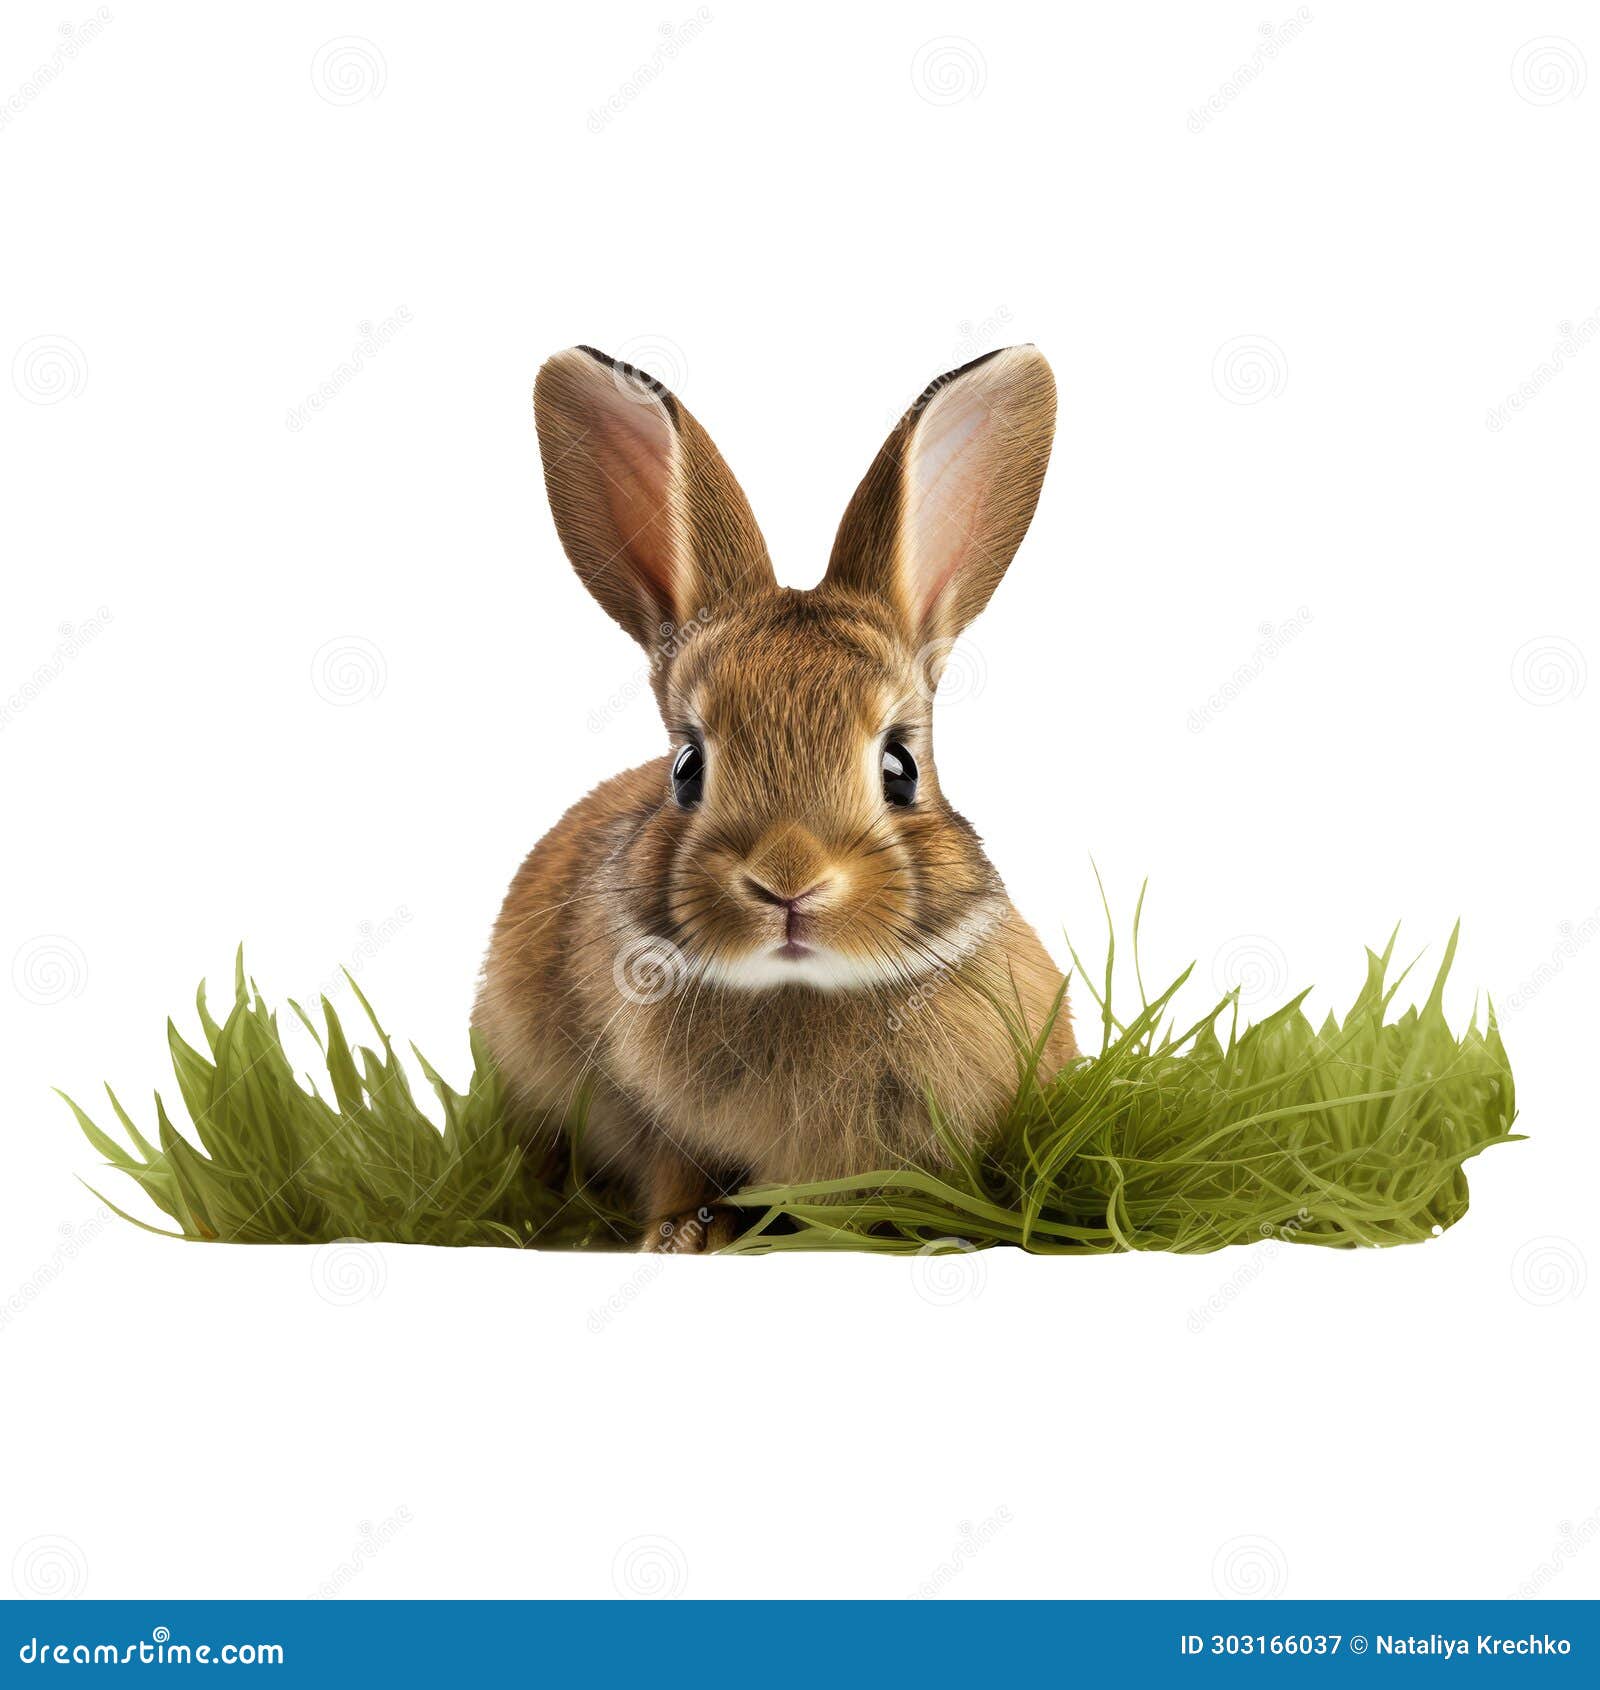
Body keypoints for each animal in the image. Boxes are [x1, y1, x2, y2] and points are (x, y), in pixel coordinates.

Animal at [474, 343, 1077, 1250]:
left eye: (900, 766)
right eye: (688, 768)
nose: (789, 882)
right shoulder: (654, 1119)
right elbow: (674, 1169)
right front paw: (679, 1236)